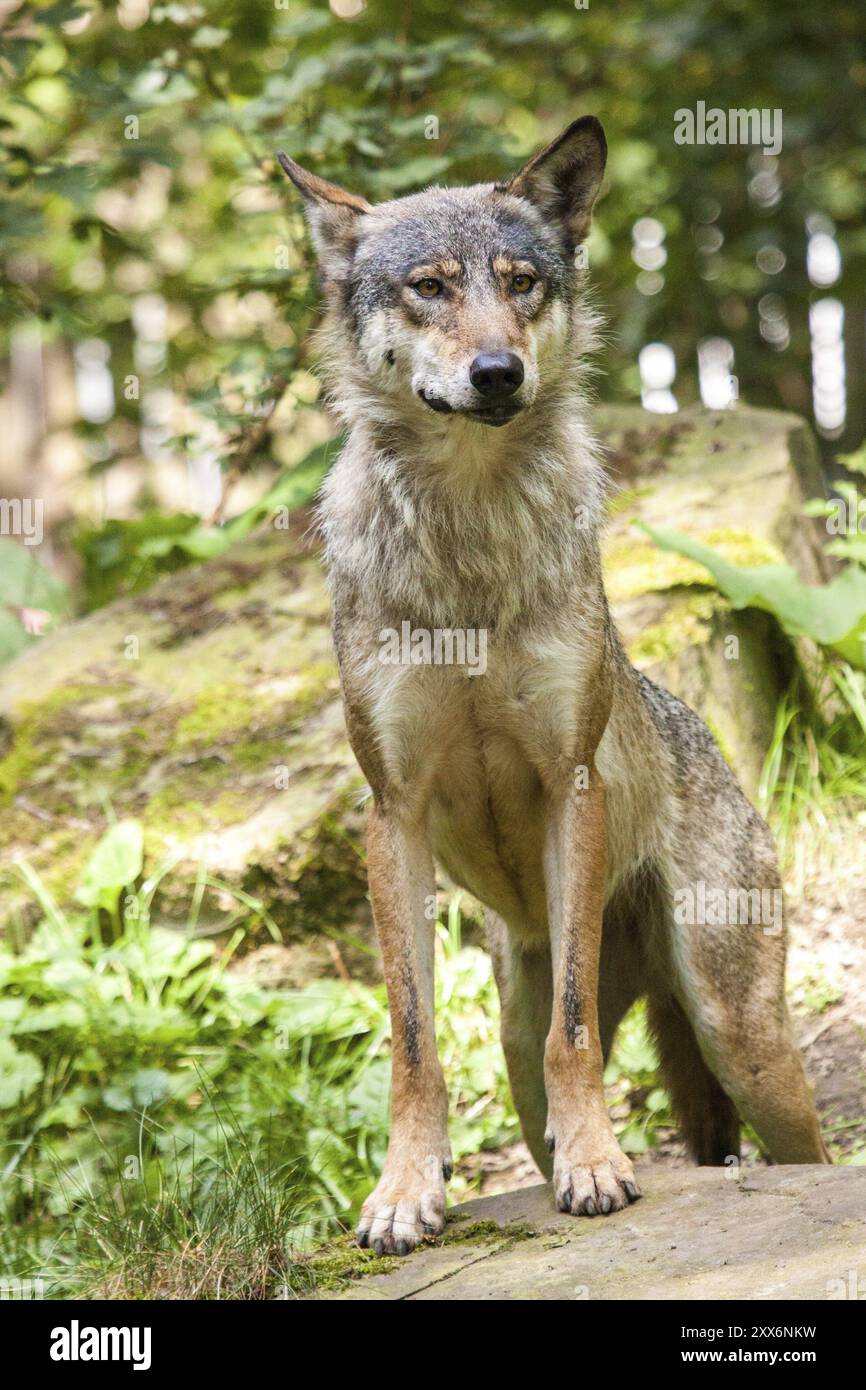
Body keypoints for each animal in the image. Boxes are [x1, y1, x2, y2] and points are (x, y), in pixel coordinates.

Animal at [279, 116, 828, 1257]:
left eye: (521, 282)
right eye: (430, 288)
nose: (496, 371)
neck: (468, 543)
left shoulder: (569, 786)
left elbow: (575, 1033)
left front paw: (596, 1168)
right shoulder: (391, 814)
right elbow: (412, 1042)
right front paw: (405, 1194)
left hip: (745, 1042)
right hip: (533, 1043)